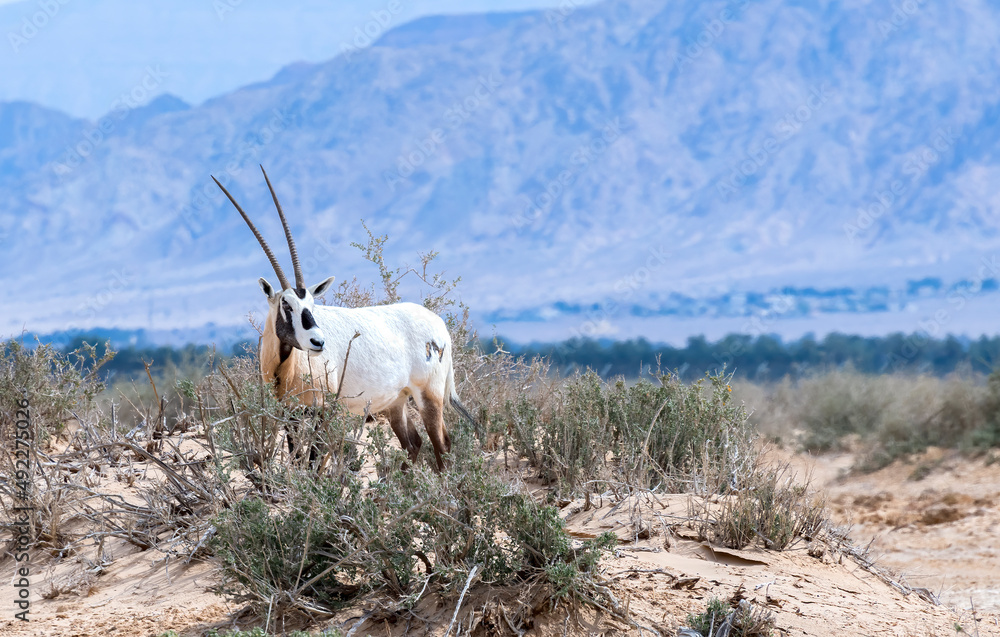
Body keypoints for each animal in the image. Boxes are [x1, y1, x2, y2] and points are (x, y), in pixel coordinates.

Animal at [213, 166, 475, 471]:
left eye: (312, 303)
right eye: (286, 304)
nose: (318, 342)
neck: (284, 366)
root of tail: (439, 326)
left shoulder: (322, 411)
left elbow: (313, 461)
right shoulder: (288, 413)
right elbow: (296, 458)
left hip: (429, 396)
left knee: (442, 445)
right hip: (396, 401)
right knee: (413, 443)